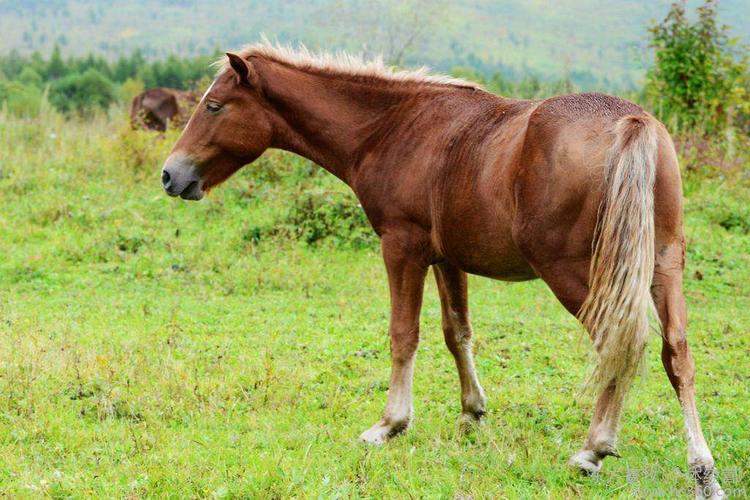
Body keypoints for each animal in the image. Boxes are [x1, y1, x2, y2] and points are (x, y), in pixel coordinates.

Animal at [160, 42, 723, 497]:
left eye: (214, 106)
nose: (170, 174)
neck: (390, 129)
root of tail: (634, 124)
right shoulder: (448, 258)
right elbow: (458, 333)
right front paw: (472, 413)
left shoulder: (401, 247)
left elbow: (403, 334)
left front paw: (389, 424)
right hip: (662, 265)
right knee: (677, 354)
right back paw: (703, 473)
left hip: (574, 273)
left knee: (618, 343)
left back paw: (593, 450)